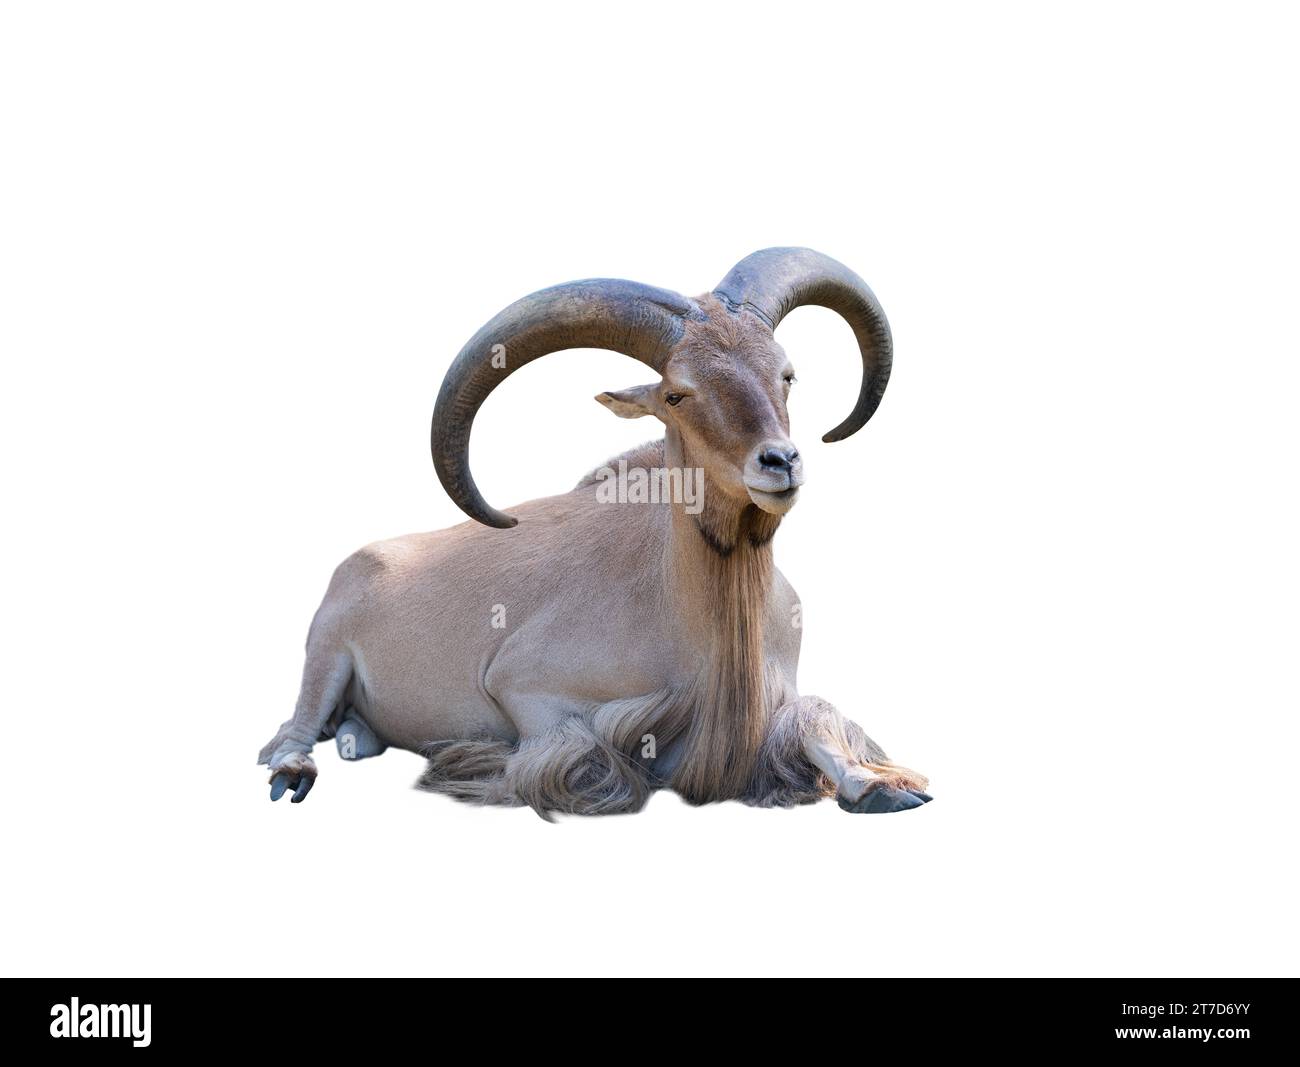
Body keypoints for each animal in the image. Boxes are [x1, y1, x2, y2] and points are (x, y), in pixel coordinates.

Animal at [258, 247, 930, 816]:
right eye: (677, 394)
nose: (781, 462)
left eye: (786, 375)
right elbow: (582, 753)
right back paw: (294, 771)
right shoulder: (522, 687)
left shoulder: (780, 691)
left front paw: (880, 789)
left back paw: (356, 737)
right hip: (325, 649)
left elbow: (818, 723)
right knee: (293, 728)